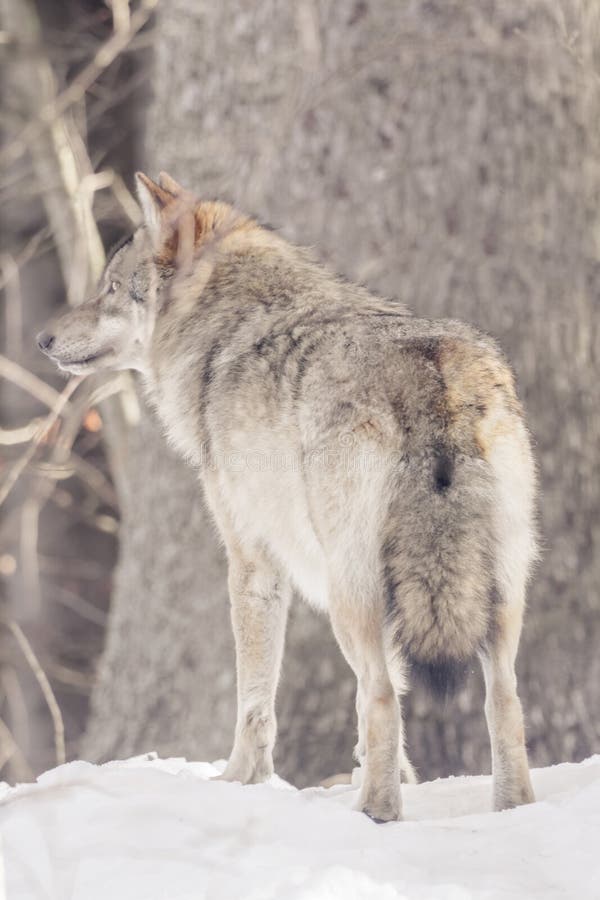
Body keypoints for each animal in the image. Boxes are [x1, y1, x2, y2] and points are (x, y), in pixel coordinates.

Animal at [38, 172, 537, 822]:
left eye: (112, 289)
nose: (42, 339)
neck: (223, 330)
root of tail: (429, 370)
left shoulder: (252, 563)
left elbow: (255, 698)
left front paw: (237, 782)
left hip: (352, 597)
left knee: (381, 695)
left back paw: (374, 815)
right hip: (497, 592)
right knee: (502, 699)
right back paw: (510, 808)